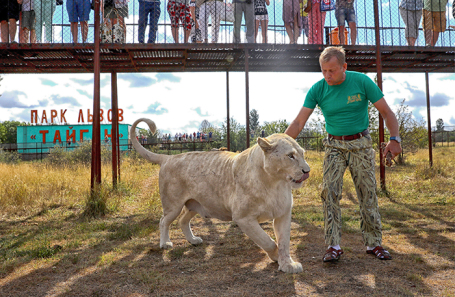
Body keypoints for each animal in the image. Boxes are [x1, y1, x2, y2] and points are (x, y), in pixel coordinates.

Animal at [130, 118, 312, 272]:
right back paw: (165, 243)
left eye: (303, 154)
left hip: (194, 204)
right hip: (173, 205)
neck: (274, 183)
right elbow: (268, 242)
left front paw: (288, 265)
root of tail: (168, 158)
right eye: (290, 156)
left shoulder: (283, 214)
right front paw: (275, 257)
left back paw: (193, 240)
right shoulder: (243, 218)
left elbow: (284, 242)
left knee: (182, 221)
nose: (307, 171)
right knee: (163, 221)